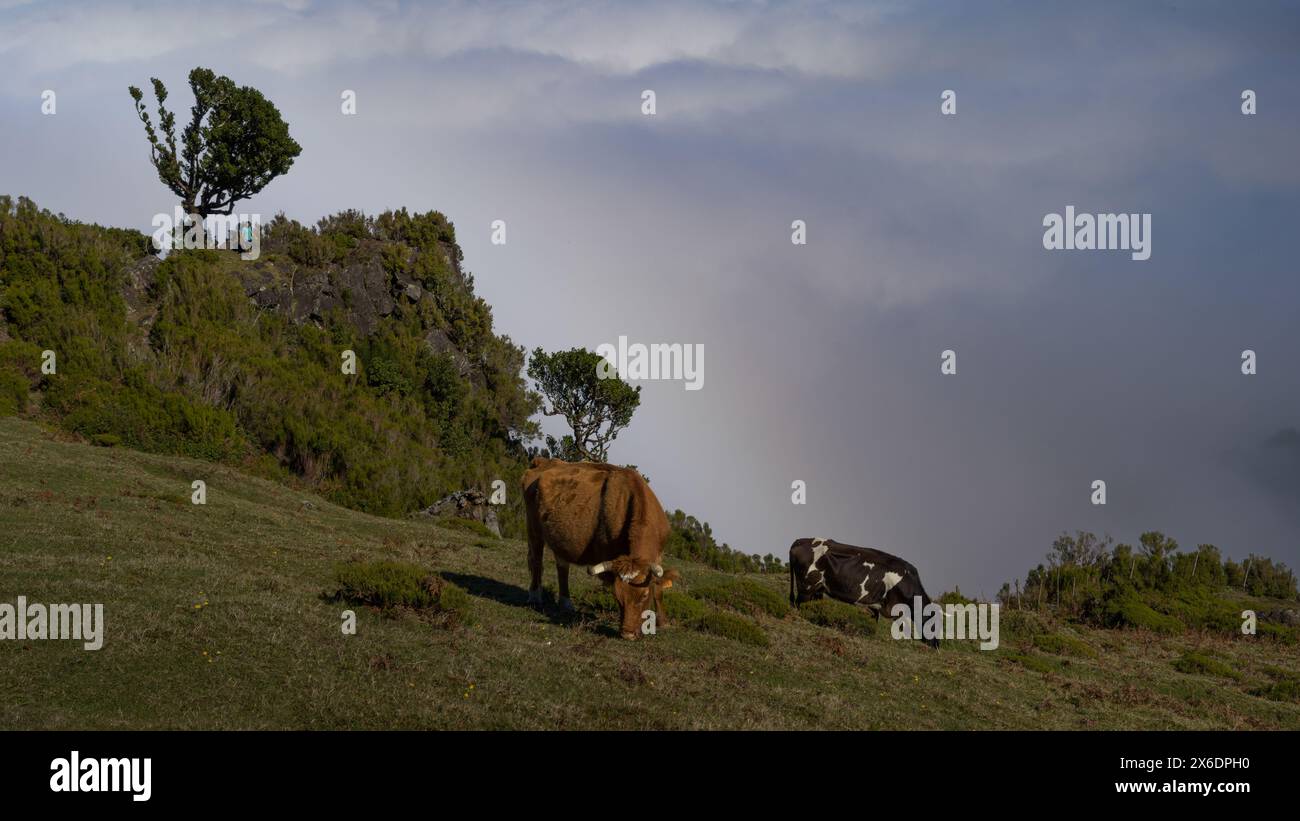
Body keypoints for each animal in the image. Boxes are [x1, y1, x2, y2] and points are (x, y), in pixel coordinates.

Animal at [522, 457, 677, 639]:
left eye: (644, 595)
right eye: (617, 596)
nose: (627, 634)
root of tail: (544, 461)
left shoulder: (658, 556)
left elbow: (658, 588)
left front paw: (663, 622)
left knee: (562, 567)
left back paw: (566, 603)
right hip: (533, 530)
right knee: (537, 561)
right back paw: (534, 596)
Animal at [789, 537, 939, 648]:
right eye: (934, 625)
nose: (937, 645)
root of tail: (800, 540)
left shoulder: (875, 606)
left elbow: (874, 622)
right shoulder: (898, 609)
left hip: (818, 590)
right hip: (806, 587)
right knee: (798, 604)